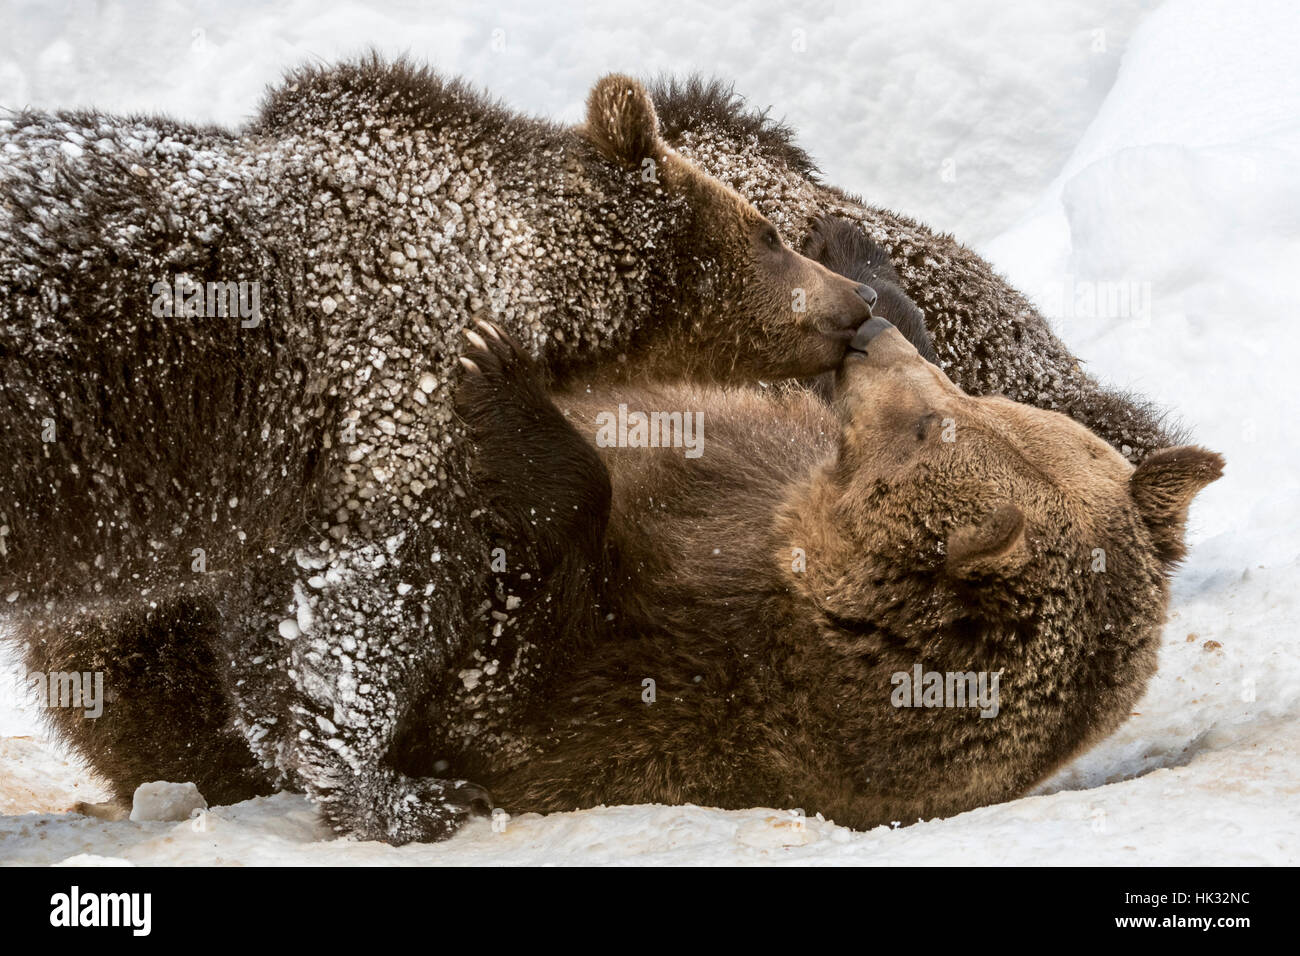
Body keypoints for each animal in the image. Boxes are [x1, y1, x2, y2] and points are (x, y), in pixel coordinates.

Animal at [0, 60, 873, 843]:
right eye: (767, 234)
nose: (859, 299)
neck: (521, 274)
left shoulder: (308, 474)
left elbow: (278, 629)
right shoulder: (393, 388)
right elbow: (376, 604)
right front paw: (400, 795)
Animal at [443, 316, 1222, 827]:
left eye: (930, 424)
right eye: (980, 398)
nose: (872, 333)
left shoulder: (645, 686)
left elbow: (511, 656)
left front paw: (494, 367)